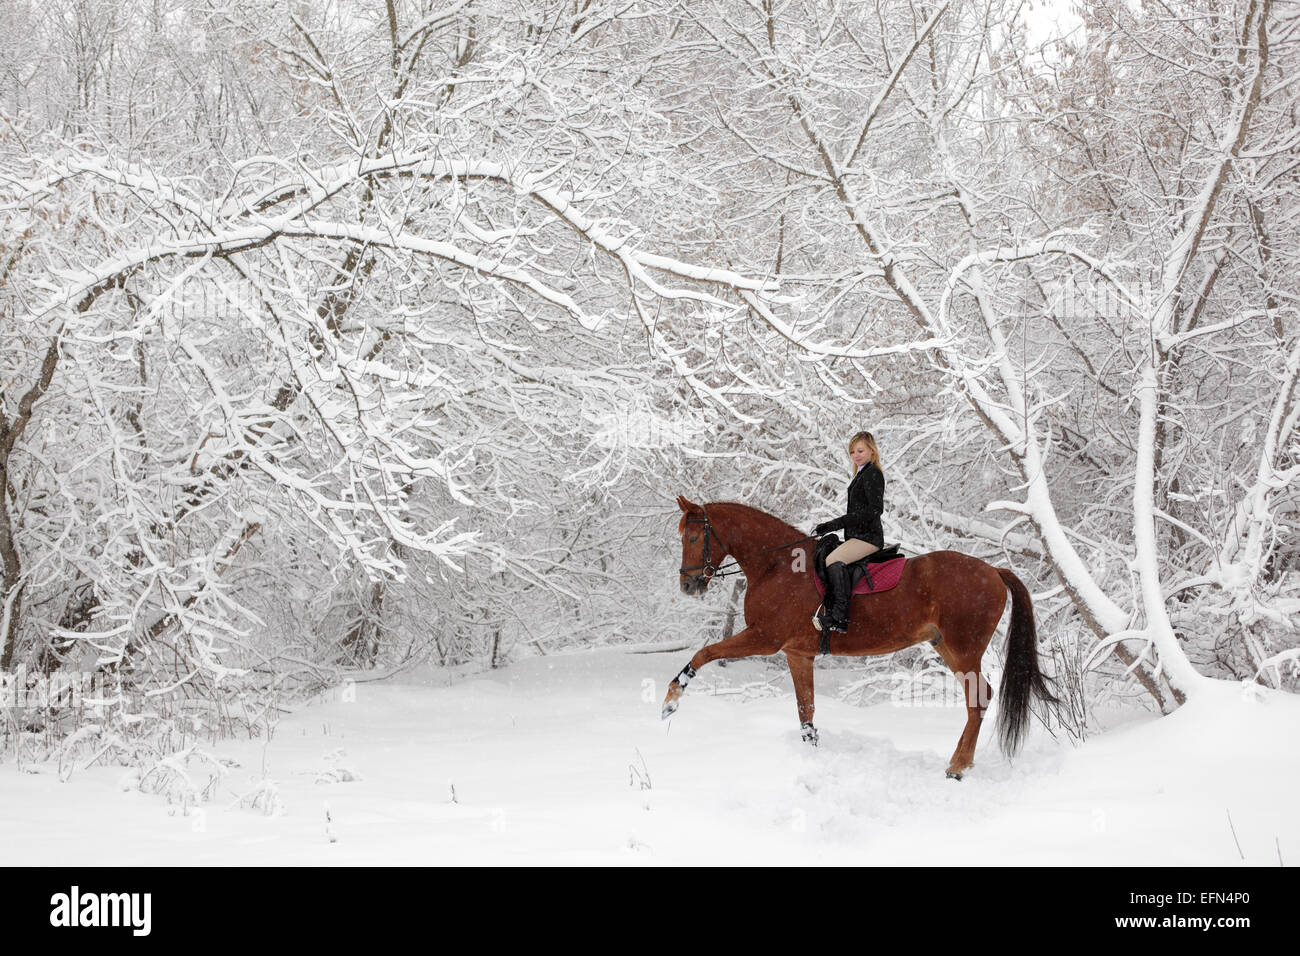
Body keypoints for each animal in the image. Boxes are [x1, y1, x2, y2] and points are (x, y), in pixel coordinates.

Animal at [663, 497, 1056, 778]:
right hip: (945, 646)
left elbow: (704, 653)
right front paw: (811, 756)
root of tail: (993, 570)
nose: (687, 585)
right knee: (980, 698)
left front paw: (671, 699)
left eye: (694, 537)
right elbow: (806, 712)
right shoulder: (797, 654)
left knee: (978, 699)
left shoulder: (764, 637)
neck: (778, 565)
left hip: (963, 648)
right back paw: (959, 764)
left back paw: (957, 767)